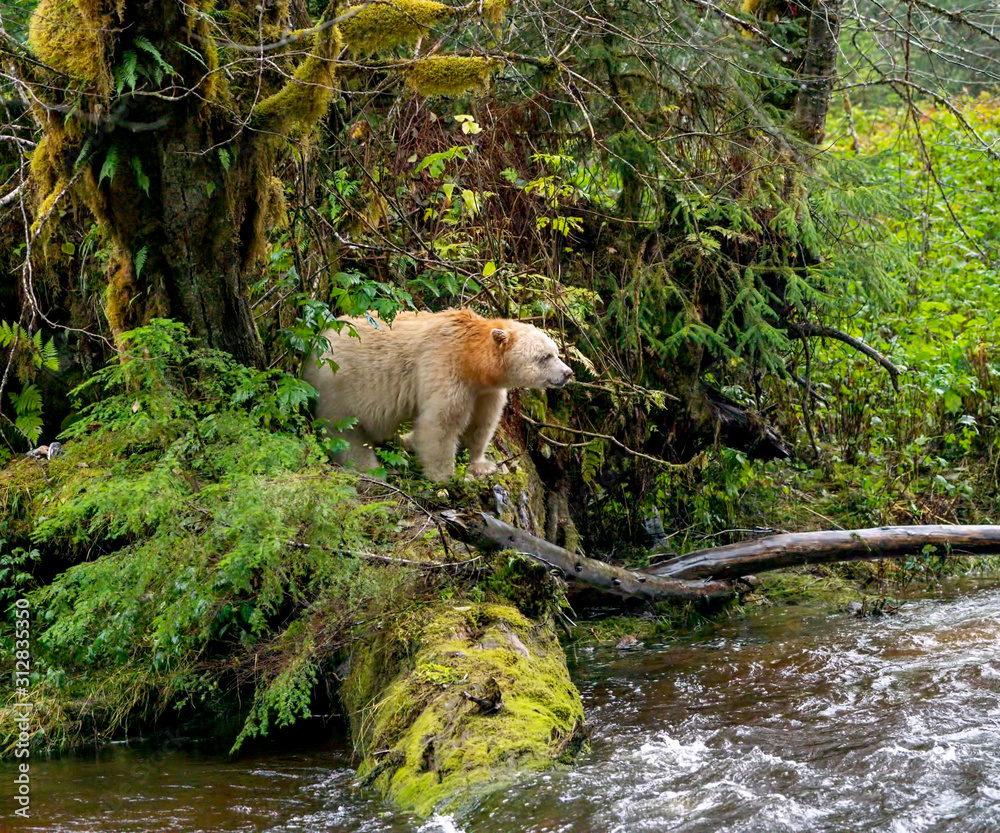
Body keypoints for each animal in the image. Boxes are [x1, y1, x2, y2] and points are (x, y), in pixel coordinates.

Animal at [302, 308, 574, 481]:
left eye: (556, 352)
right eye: (544, 357)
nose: (567, 373)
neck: (472, 358)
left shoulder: (485, 391)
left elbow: (481, 423)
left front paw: (481, 465)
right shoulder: (444, 366)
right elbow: (440, 423)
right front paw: (446, 476)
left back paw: (403, 441)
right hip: (342, 382)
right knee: (344, 430)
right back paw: (370, 467)